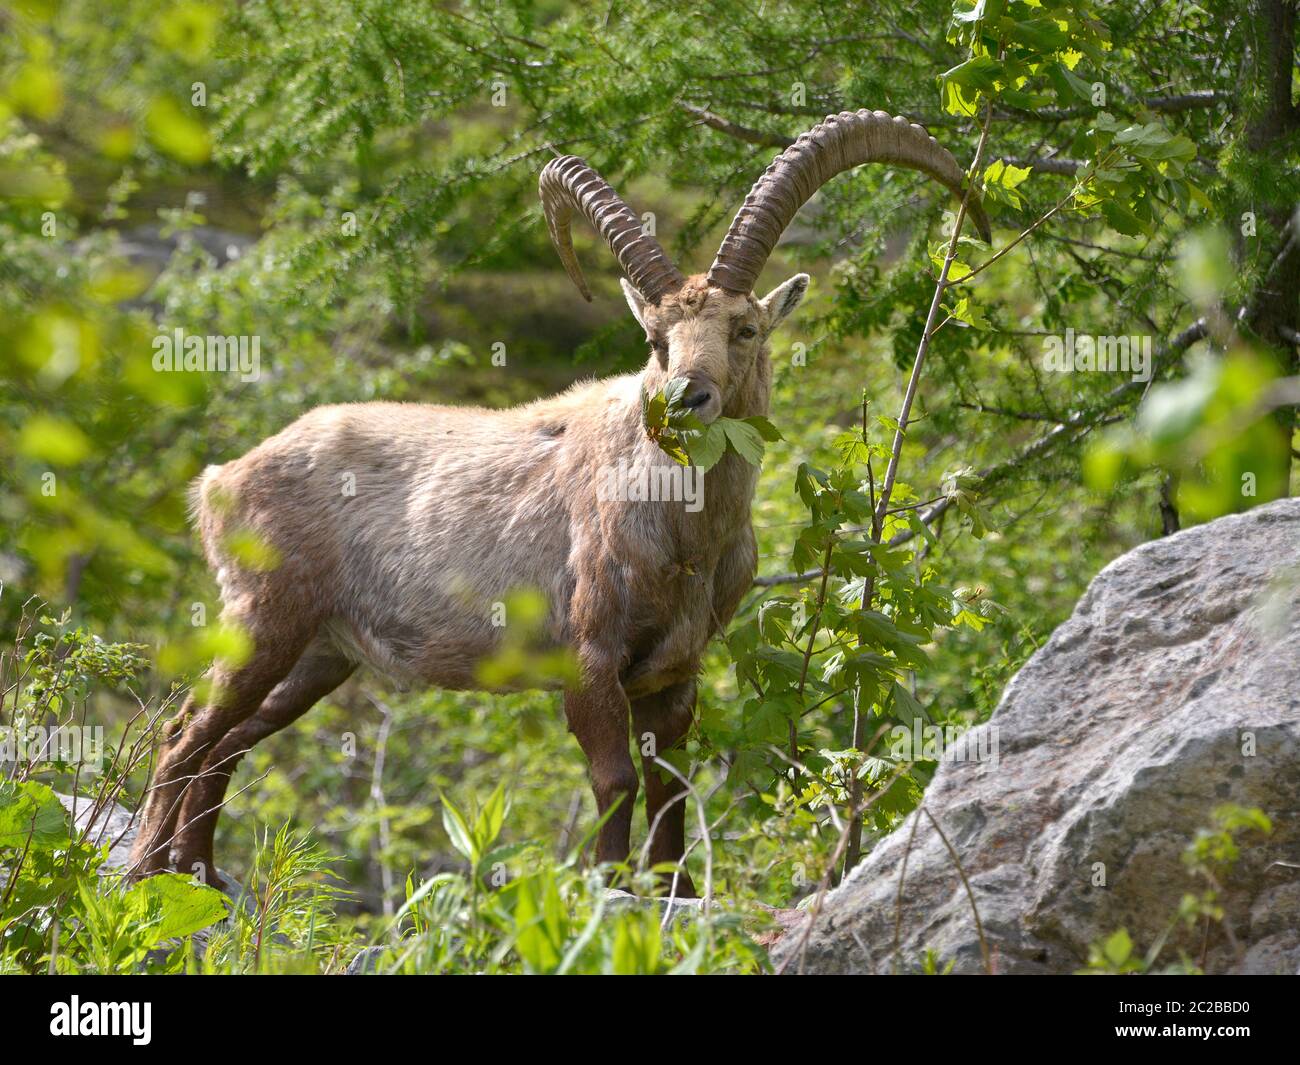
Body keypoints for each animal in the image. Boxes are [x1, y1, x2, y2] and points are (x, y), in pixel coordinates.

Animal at [127, 111, 988, 895]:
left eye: (744, 327)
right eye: (656, 341)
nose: (686, 397)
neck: (684, 534)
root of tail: (221, 478)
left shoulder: (674, 673)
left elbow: (670, 788)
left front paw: (674, 895)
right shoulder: (589, 658)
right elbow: (616, 782)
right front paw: (607, 895)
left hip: (321, 651)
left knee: (229, 740)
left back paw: (200, 871)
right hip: (265, 615)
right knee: (183, 732)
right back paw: (146, 871)